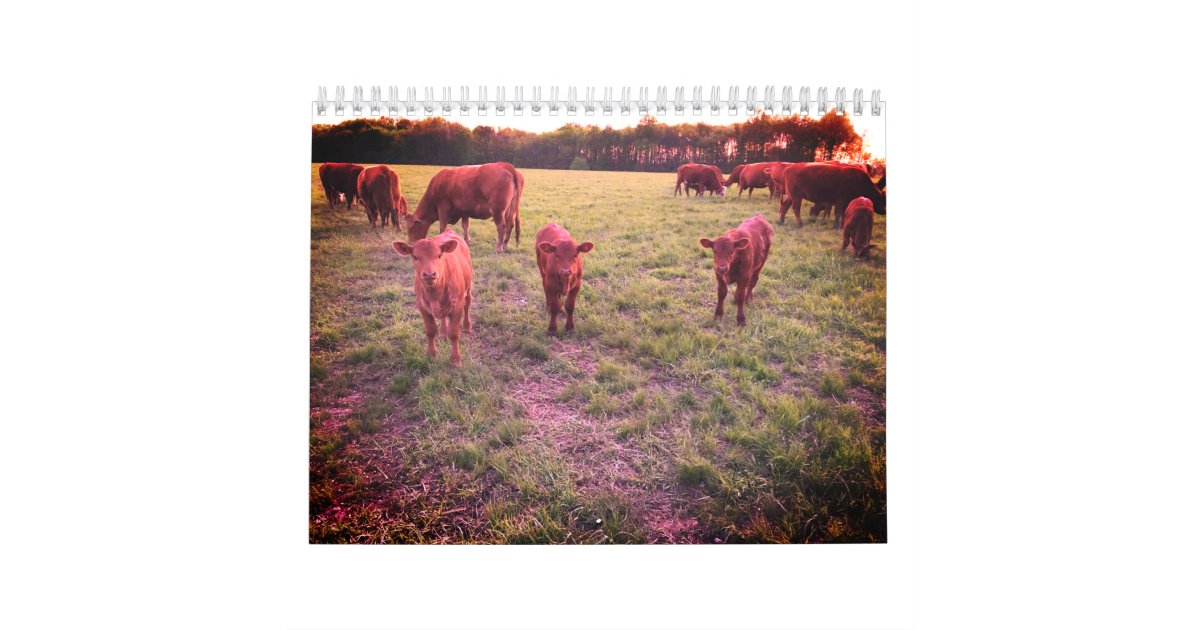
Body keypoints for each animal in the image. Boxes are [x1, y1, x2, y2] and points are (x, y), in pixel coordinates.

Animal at [391, 228, 473, 367]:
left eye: (439, 255)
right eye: (415, 257)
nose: (430, 274)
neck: (435, 294)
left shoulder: (457, 305)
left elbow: (454, 333)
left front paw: (455, 359)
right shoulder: (422, 306)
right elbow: (430, 330)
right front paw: (431, 354)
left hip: (468, 287)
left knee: (467, 304)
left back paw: (467, 326)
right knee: (443, 317)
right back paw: (443, 332)